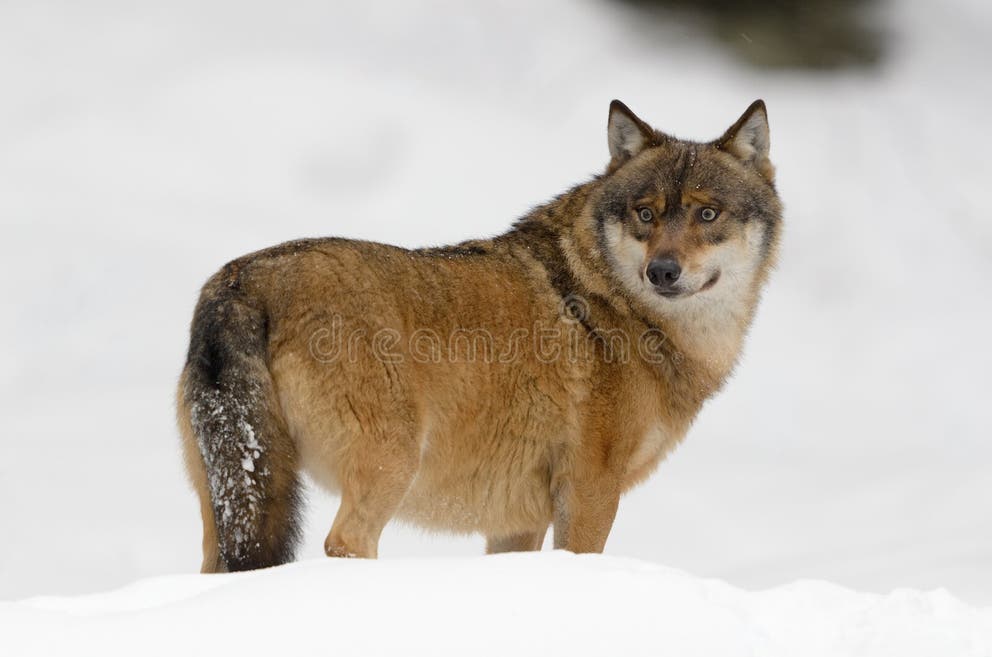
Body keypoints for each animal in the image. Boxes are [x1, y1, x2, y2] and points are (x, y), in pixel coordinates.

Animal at [177, 99, 782, 572]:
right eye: (645, 213)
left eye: (707, 214)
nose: (662, 271)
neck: (618, 304)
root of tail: (241, 281)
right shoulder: (590, 490)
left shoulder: (518, 521)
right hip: (390, 467)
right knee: (344, 544)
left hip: (231, 507)